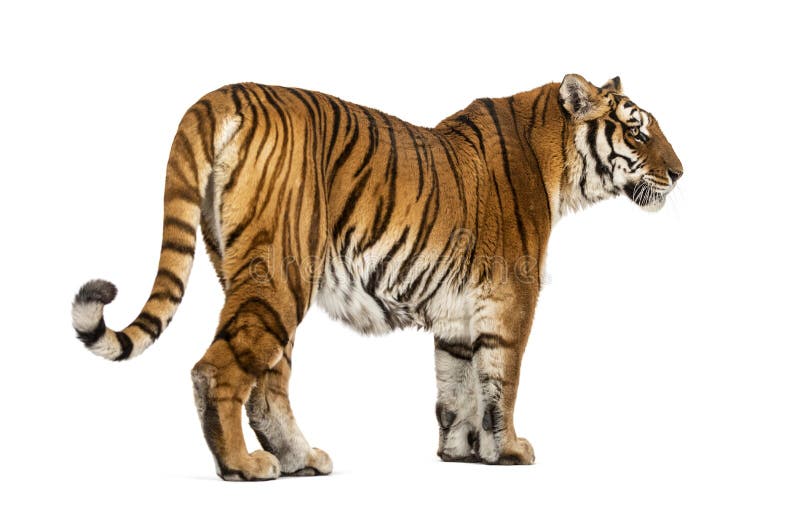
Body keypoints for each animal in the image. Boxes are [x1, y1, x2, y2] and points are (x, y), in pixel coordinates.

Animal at [72, 74, 682, 481]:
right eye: (637, 132)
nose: (679, 173)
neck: (558, 161)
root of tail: (222, 93)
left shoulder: (458, 313)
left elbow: (455, 385)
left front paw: (459, 452)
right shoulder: (512, 296)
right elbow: (499, 381)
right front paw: (508, 451)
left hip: (250, 276)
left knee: (268, 383)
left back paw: (302, 459)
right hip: (279, 274)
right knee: (216, 371)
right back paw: (242, 465)